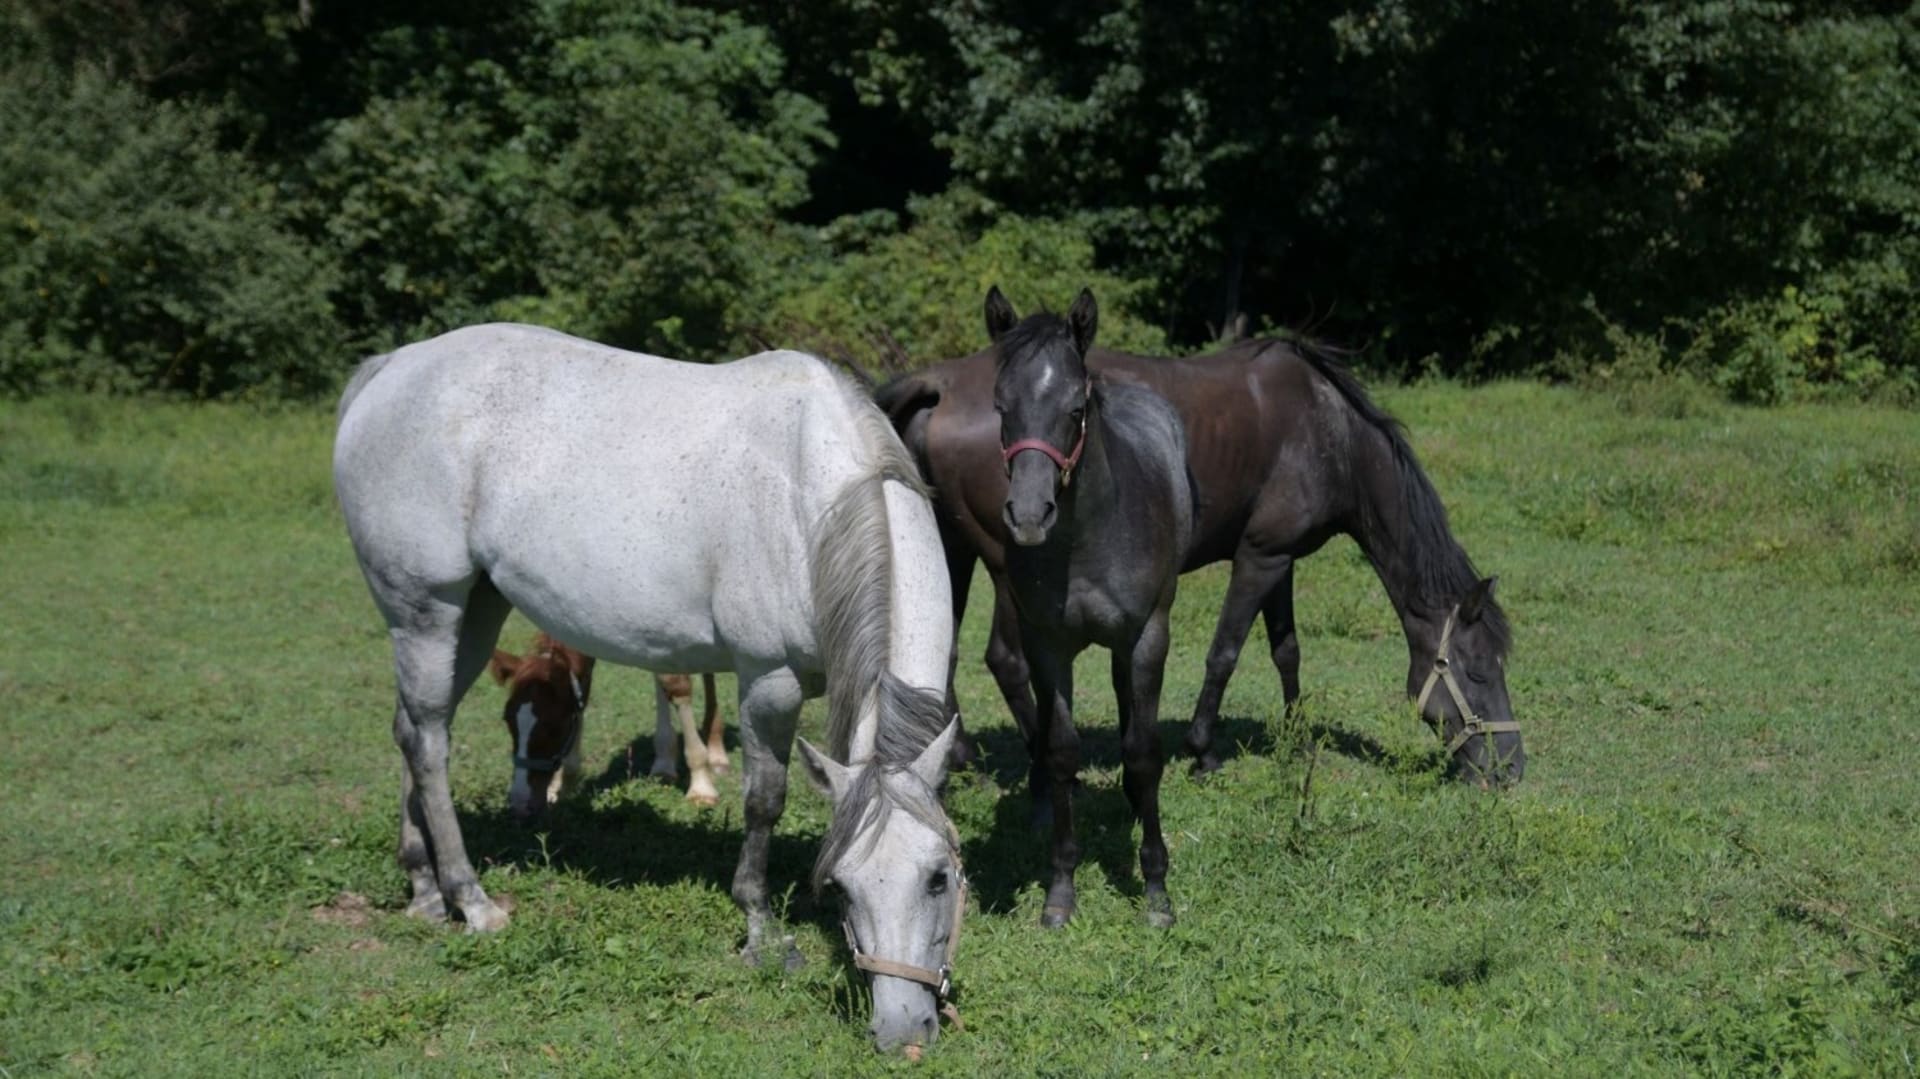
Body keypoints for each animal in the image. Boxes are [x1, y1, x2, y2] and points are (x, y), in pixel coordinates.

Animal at [486, 634, 729, 812]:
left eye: (554, 727)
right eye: (507, 719)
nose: (520, 800)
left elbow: (675, 683)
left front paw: (701, 787)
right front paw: (559, 785)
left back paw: (716, 753)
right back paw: (664, 764)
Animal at [876, 318, 1521, 787]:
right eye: (1477, 670)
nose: (1510, 767)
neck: (1327, 429)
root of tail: (941, 384)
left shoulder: (1281, 558)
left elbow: (1287, 649)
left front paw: (1294, 737)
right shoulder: (1259, 558)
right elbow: (1225, 652)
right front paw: (1201, 750)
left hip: (953, 547)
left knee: (948, 648)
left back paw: (957, 756)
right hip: (1007, 565)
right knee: (1005, 659)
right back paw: (1041, 759)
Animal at [982, 287, 1192, 928]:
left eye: (1075, 407)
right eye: (1000, 406)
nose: (1029, 515)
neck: (1087, 538)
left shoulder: (1147, 635)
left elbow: (1146, 752)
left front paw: (1156, 893)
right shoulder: (1047, 645)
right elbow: (1061, 752)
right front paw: (1060, 892)